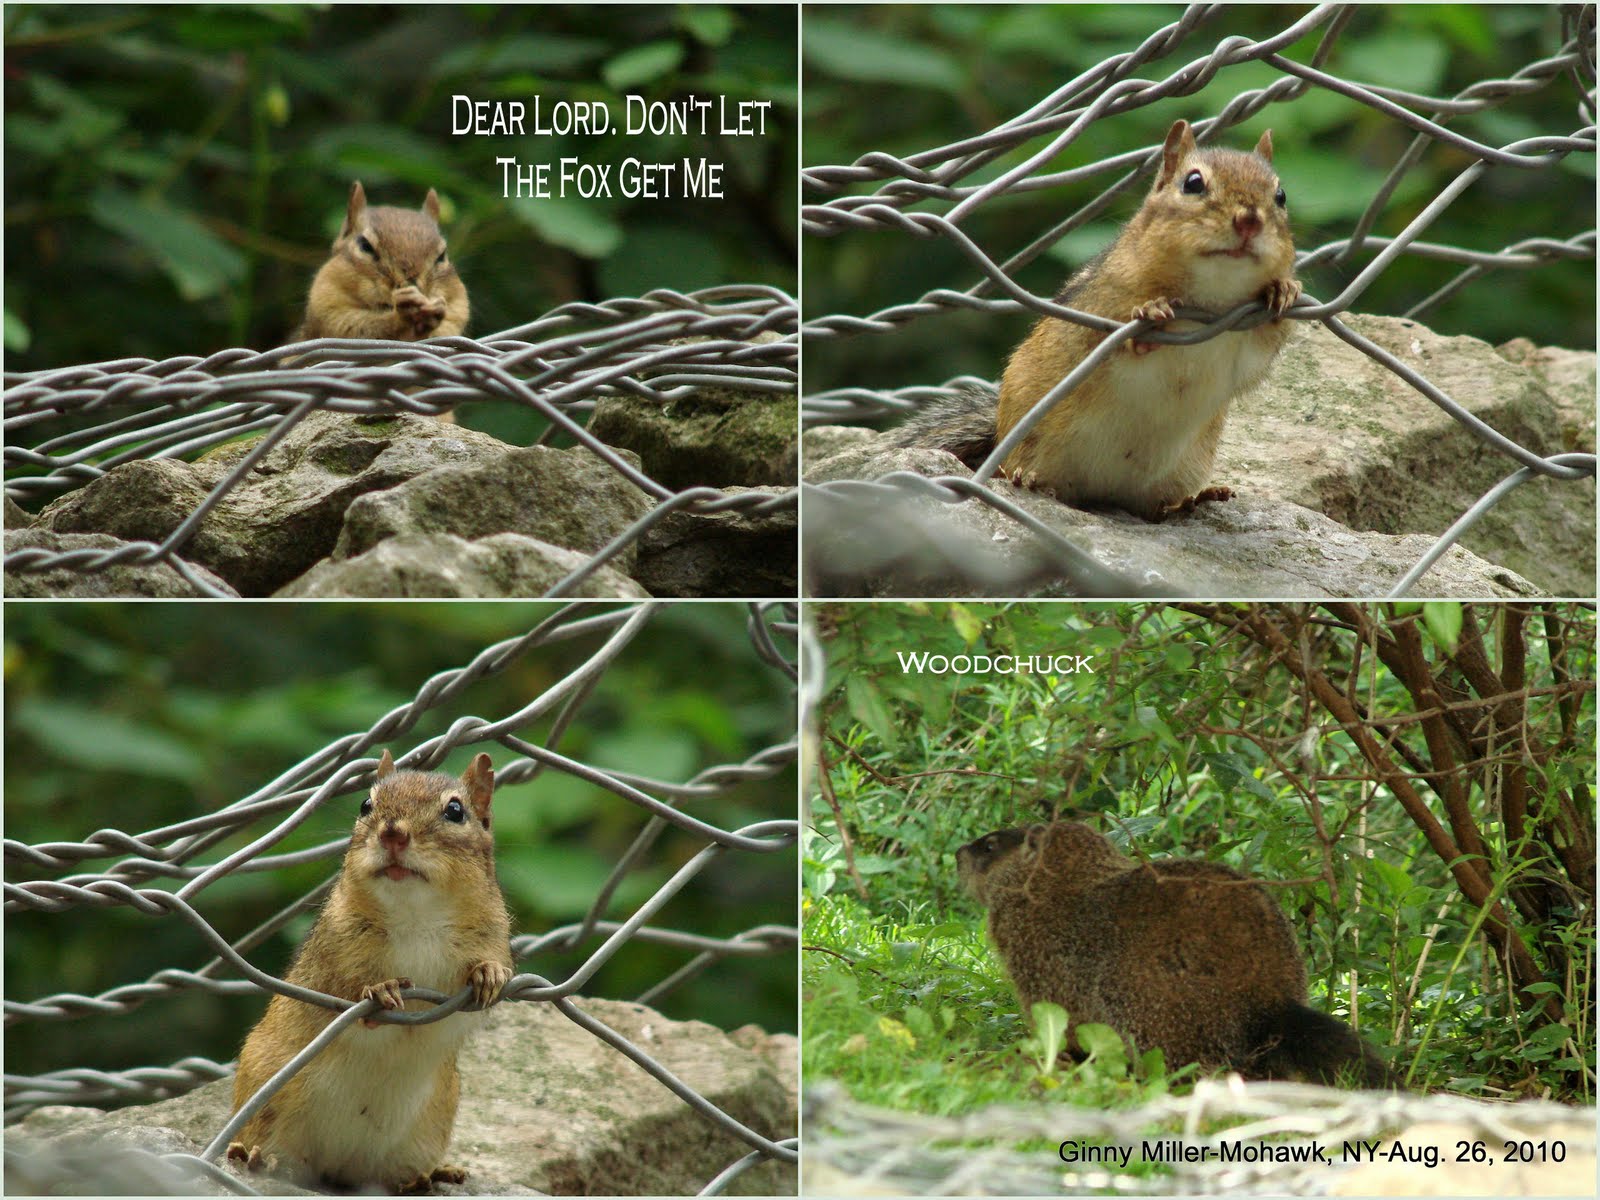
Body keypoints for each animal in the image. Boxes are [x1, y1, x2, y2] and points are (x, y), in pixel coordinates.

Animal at [228, 750, 514, 1192]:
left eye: (456, 811)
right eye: (366, 804)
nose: (393, 834)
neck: (417, 916)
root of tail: (338, 1166)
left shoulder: (493, 937)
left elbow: (487, 982)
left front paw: (490, 975)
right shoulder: (332, 952)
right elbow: (339, 990)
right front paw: (379, 991)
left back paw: (426, 1177)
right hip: (268, 1092)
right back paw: (257, 1157)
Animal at [891, 120, 1301, 521]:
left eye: (1281, 195)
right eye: (1193, 183)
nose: (1249, 220)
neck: (1211, 297)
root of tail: (1103, 493)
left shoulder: (1239, 337)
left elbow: (1257, 358)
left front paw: (1283, 290)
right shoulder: (1100, 306)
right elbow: (1113, 336)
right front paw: (1151, 313)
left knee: (1153, 510)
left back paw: (1192, 500)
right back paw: (1027, 478)